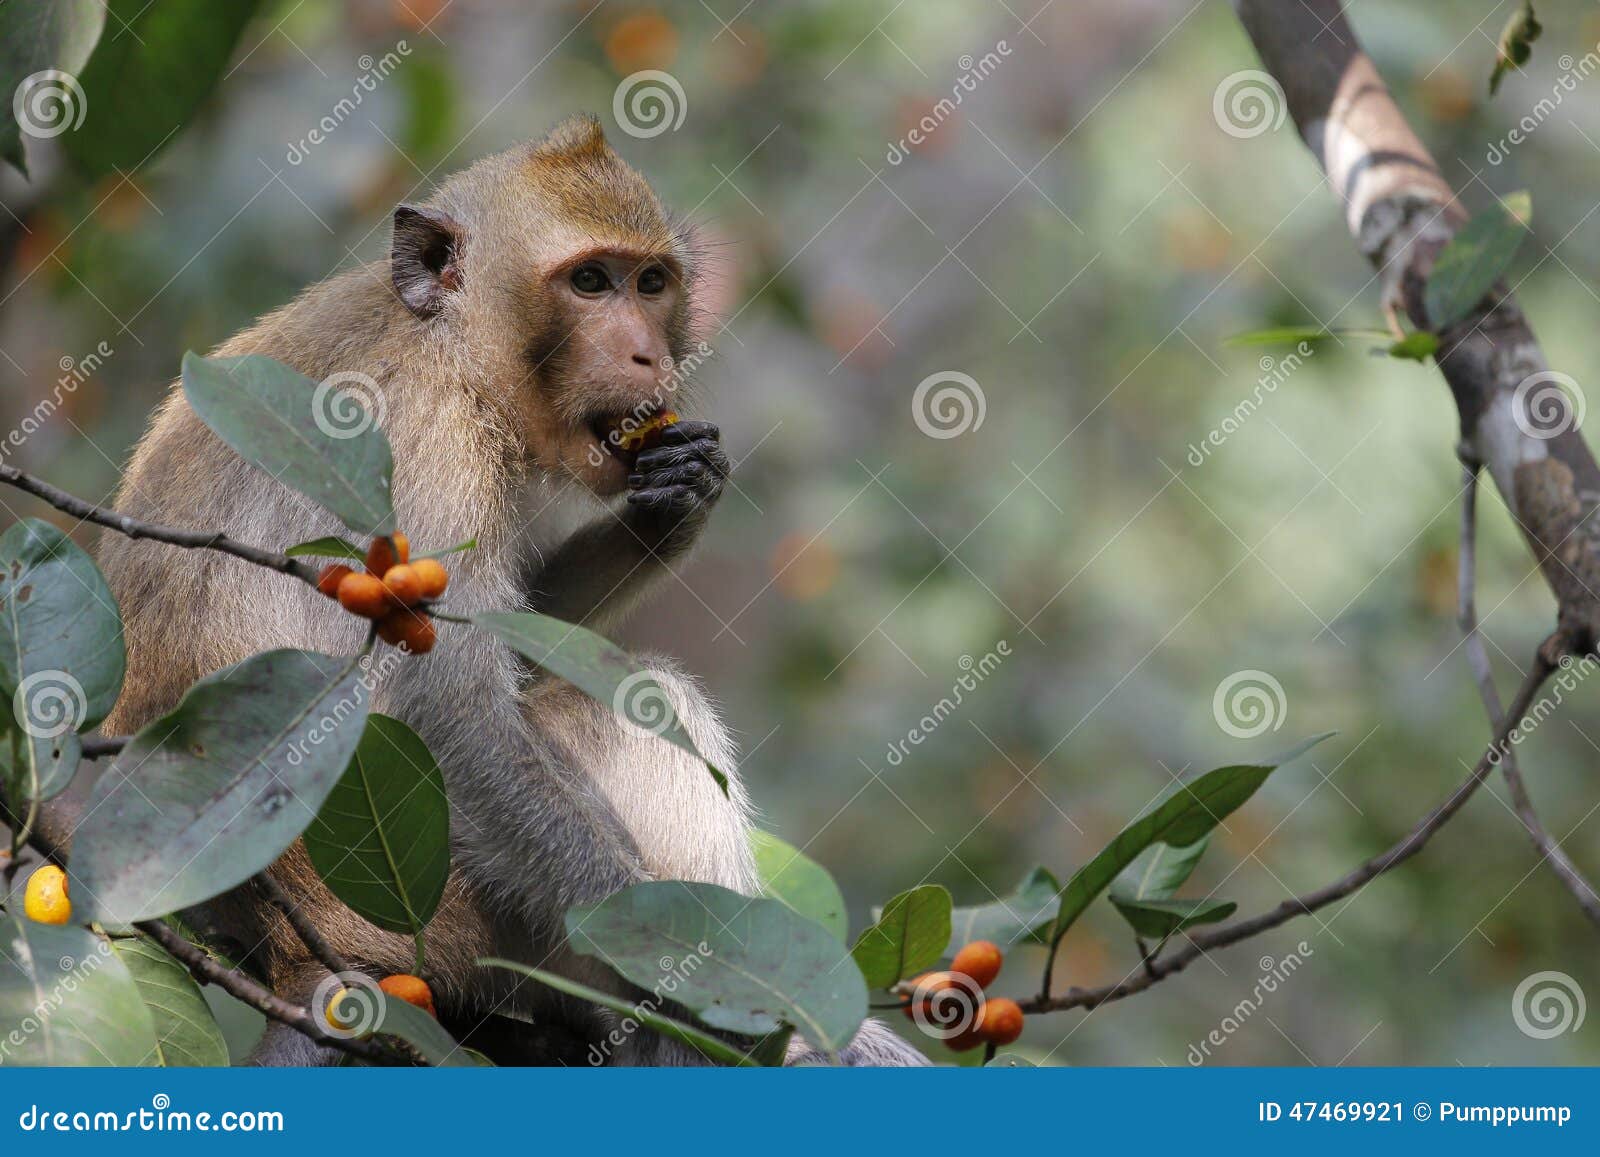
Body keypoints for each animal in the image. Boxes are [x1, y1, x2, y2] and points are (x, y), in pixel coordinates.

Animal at [90, 117, 927, 1068]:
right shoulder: (427, 444)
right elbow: (451, 707)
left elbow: (523, 636)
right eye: (590, 282)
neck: (444, 342)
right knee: (637, 706)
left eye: (651, 283)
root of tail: (292, 952)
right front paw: (709, 984)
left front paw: (675, 503)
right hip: (449, 912)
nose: (650, 351)